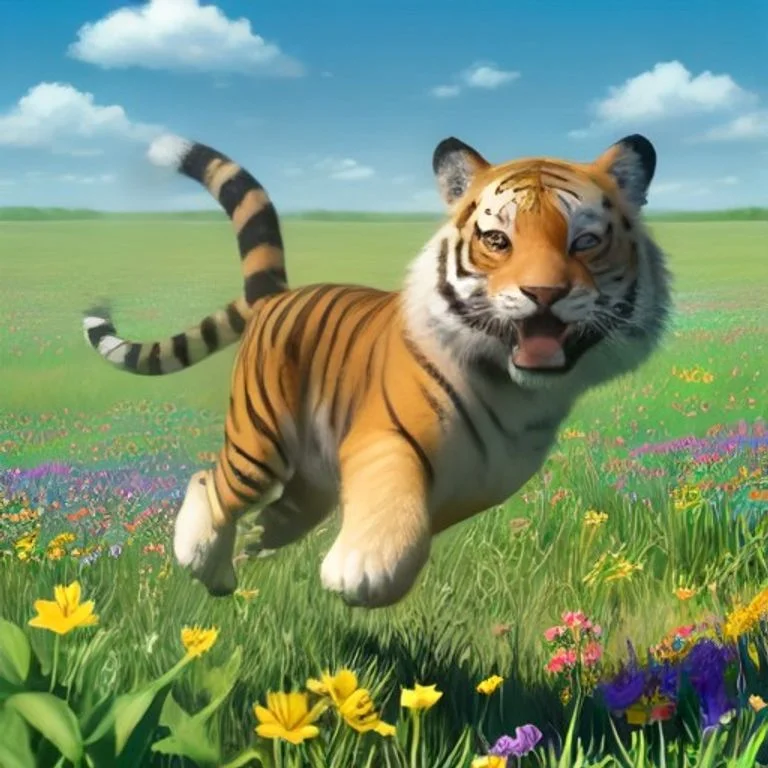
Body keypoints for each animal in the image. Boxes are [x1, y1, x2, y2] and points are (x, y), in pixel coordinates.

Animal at [82, 132, 671, 608]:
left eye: (586, 241)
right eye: (497, 240)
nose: (543, 294)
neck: (513, 388)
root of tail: (277, 294)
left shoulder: (494, 476)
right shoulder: (386, 436)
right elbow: (397, 505)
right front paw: (361, 571)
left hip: (311, 468)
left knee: (289, 505)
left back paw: (260, 538)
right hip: (258, 441)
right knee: (214, 484)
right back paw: (206, 561)